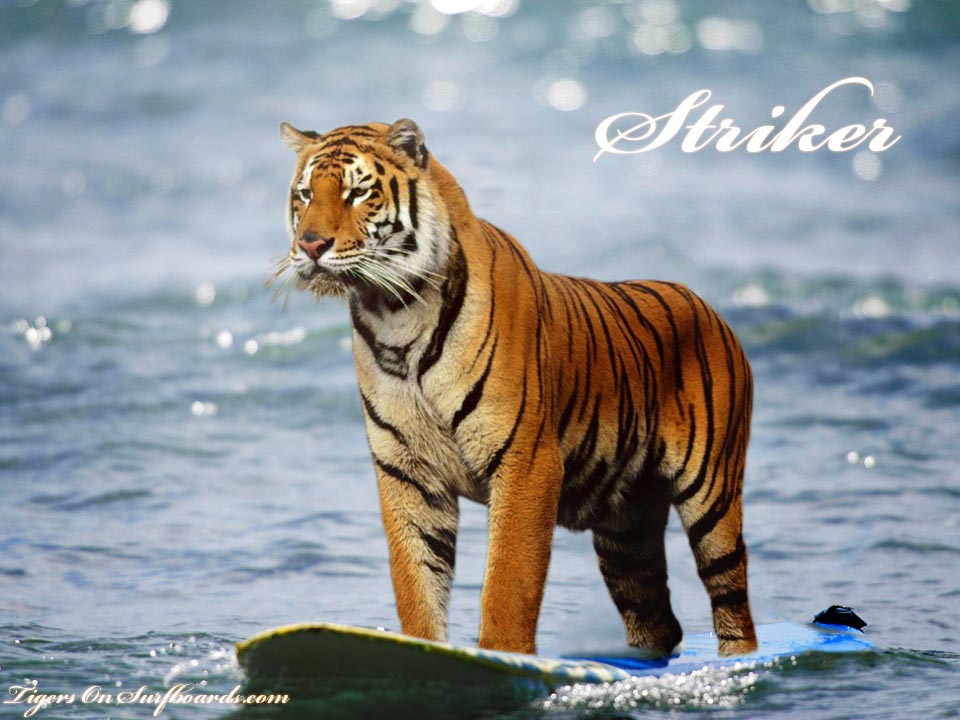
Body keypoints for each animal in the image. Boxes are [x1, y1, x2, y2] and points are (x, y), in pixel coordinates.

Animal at [273, 118, 758, 657]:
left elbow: (509, 582)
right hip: (627, 531)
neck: (395, 316)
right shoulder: (407, 472)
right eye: (305, 194)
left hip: (712, 495)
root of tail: (708, 307)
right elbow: (416, 582)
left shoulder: (526, 462)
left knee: (732, 599)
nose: (310, 245)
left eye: (358, 193)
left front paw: (504, 656)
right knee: (656, 617)